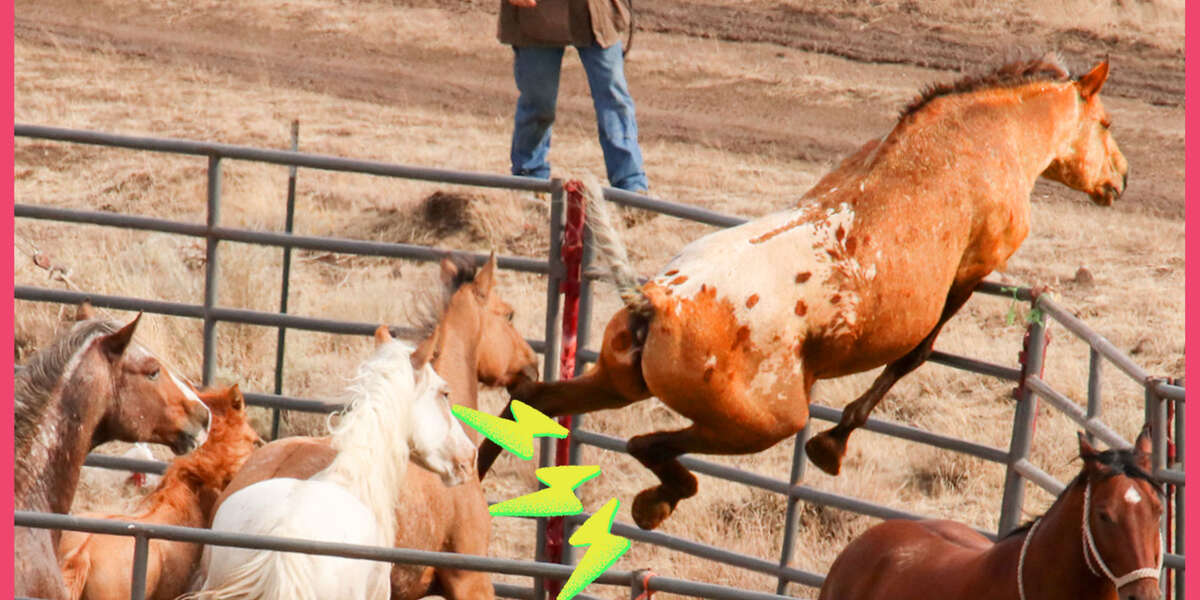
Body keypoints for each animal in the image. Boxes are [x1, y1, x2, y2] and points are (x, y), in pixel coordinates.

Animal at [477, 54, 1129, 531]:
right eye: (1105, 124)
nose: (1120, 180)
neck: (975, 139)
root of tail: (656, 303)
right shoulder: (974, 268)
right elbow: (912, 357)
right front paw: (833, 445)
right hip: (763, 421)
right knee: (650, 444)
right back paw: (656, 501)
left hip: (617, 384)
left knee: (537, 398)